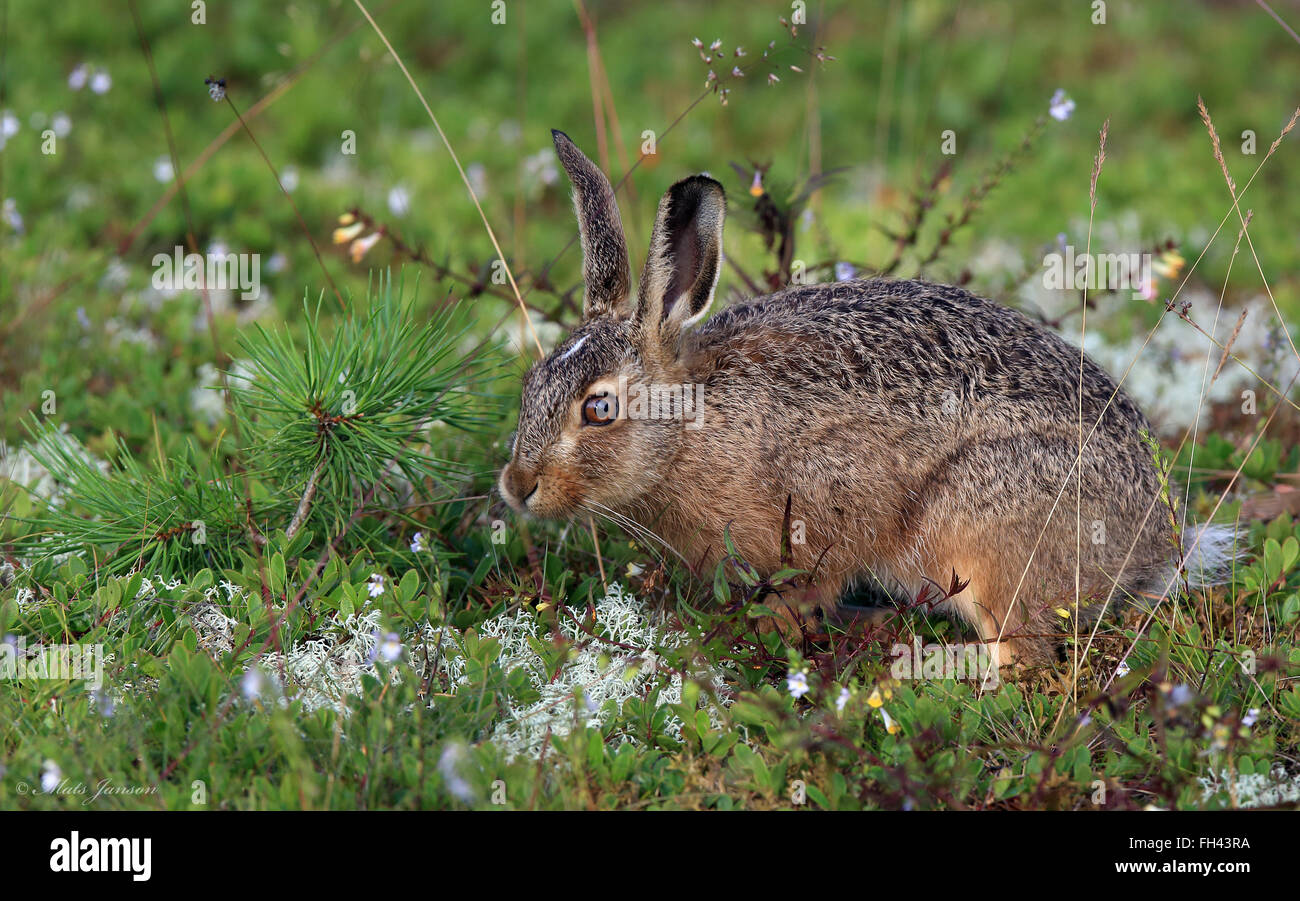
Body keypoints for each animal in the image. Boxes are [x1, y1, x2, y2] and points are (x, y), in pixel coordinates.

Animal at [500, 129, 1234, 667]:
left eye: (598, 408)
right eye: (532, 385)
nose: (516, 485)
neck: (690, 426)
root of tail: (1154, 545)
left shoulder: (821, 509)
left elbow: (814, 583)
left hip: (985, 524)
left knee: (1020, 655)